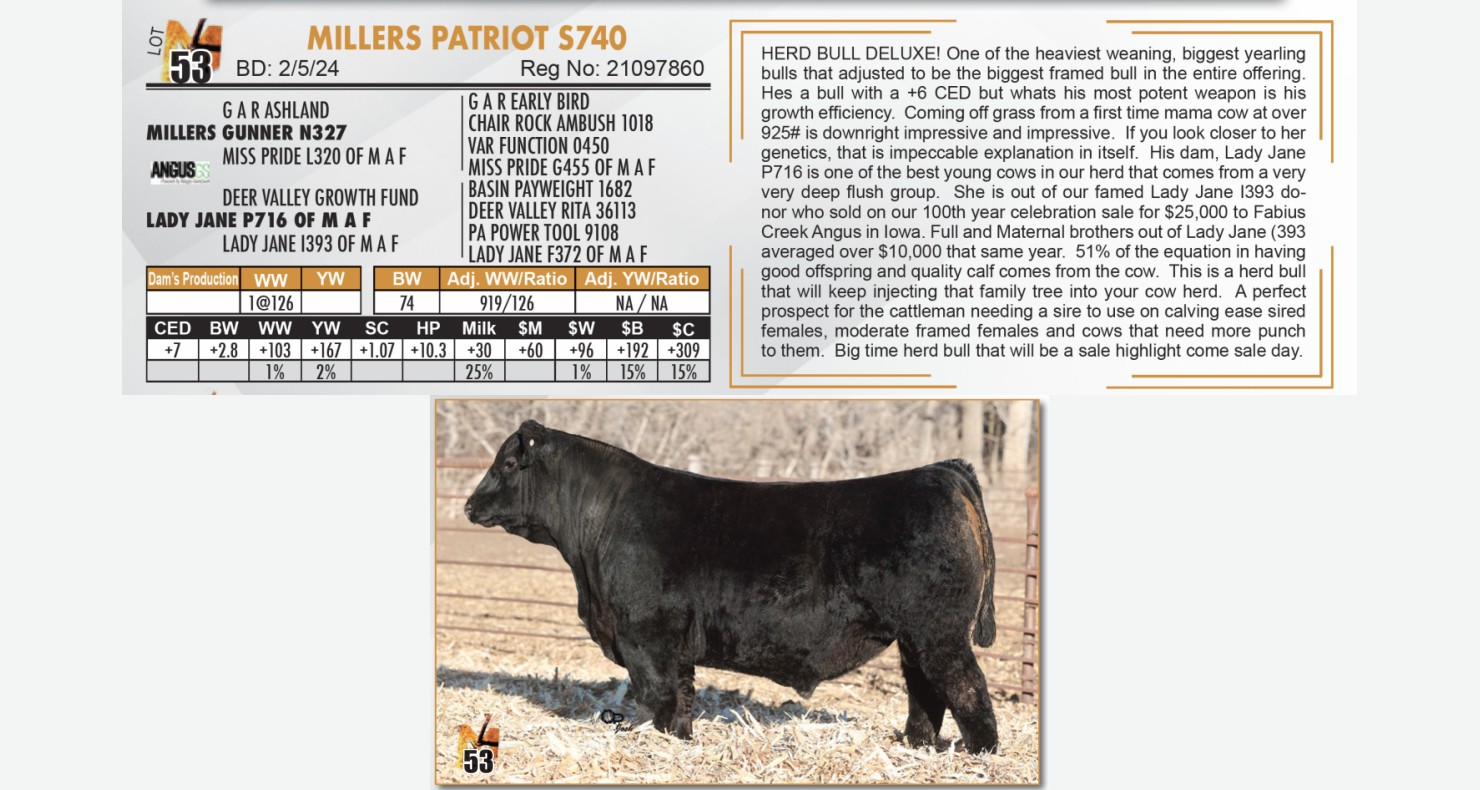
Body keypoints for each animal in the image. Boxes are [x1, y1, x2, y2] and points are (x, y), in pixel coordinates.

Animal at [464, 420, 999, 753]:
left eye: (507, 465)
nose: (469, 505)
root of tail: (941, 470)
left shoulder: (646, 635)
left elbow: (655, 696)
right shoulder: (675, 644)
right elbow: (680, 698)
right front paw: (680, 742)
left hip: (938, 633)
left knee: (967, 688)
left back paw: (980, 756)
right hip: (915, 638)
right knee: (926, 693)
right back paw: (916, 746)